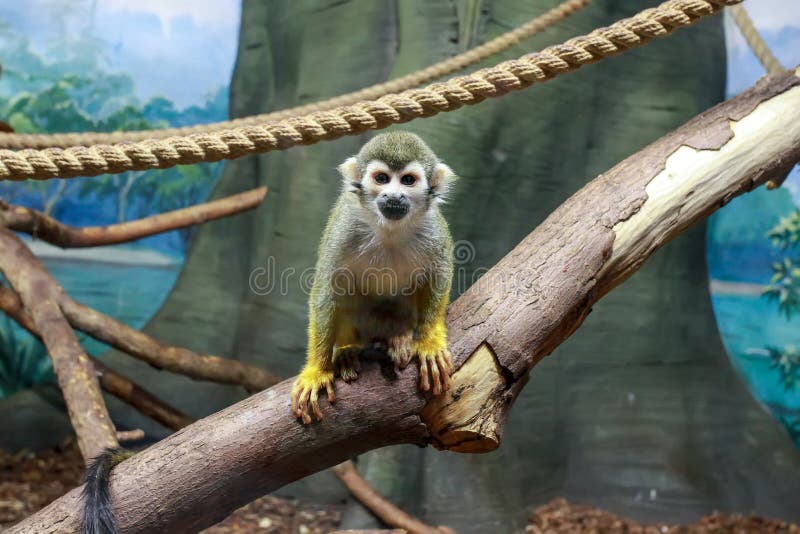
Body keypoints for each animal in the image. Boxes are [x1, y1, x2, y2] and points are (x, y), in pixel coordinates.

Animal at [291, 130, 457, 423]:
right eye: (381, 178)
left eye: (408, 180)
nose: (394, 195)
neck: (389, 228)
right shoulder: (345, 227)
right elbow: (327, 289)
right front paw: (316, 370)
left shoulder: (432, 228)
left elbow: (439, 271)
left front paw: (429, 340)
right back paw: (347, 351)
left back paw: (398, 336)